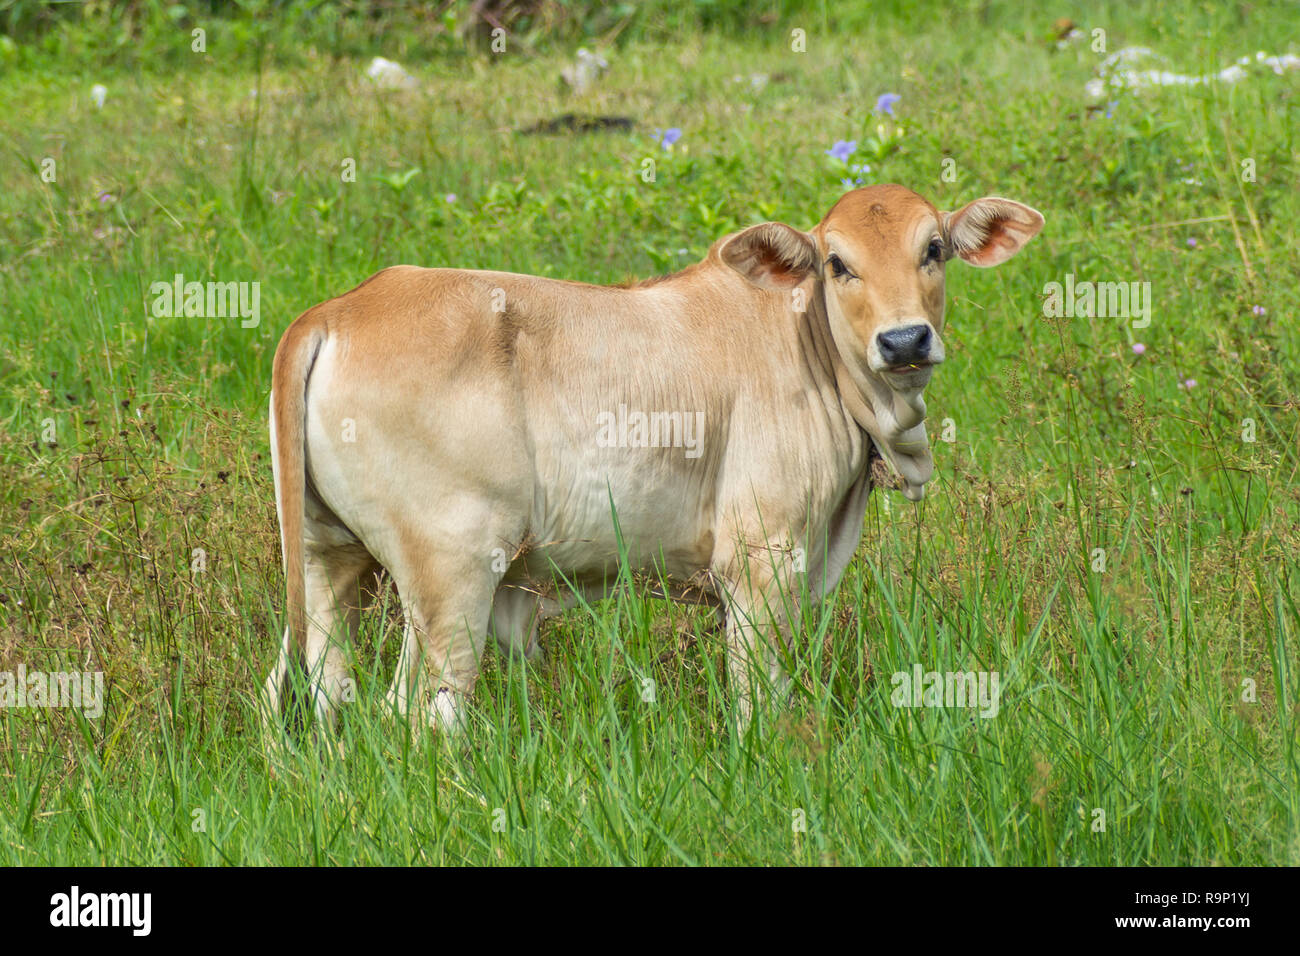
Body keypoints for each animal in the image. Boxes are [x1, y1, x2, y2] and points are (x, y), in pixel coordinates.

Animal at [264, 184, 1043, 740]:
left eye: (934, 249)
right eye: (837, 263)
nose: (905, 340)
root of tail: (337, 309)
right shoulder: (762, 560)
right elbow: (760, 699)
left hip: (331, 564)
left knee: (319, 693)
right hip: (450, 573)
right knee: (421, 712)